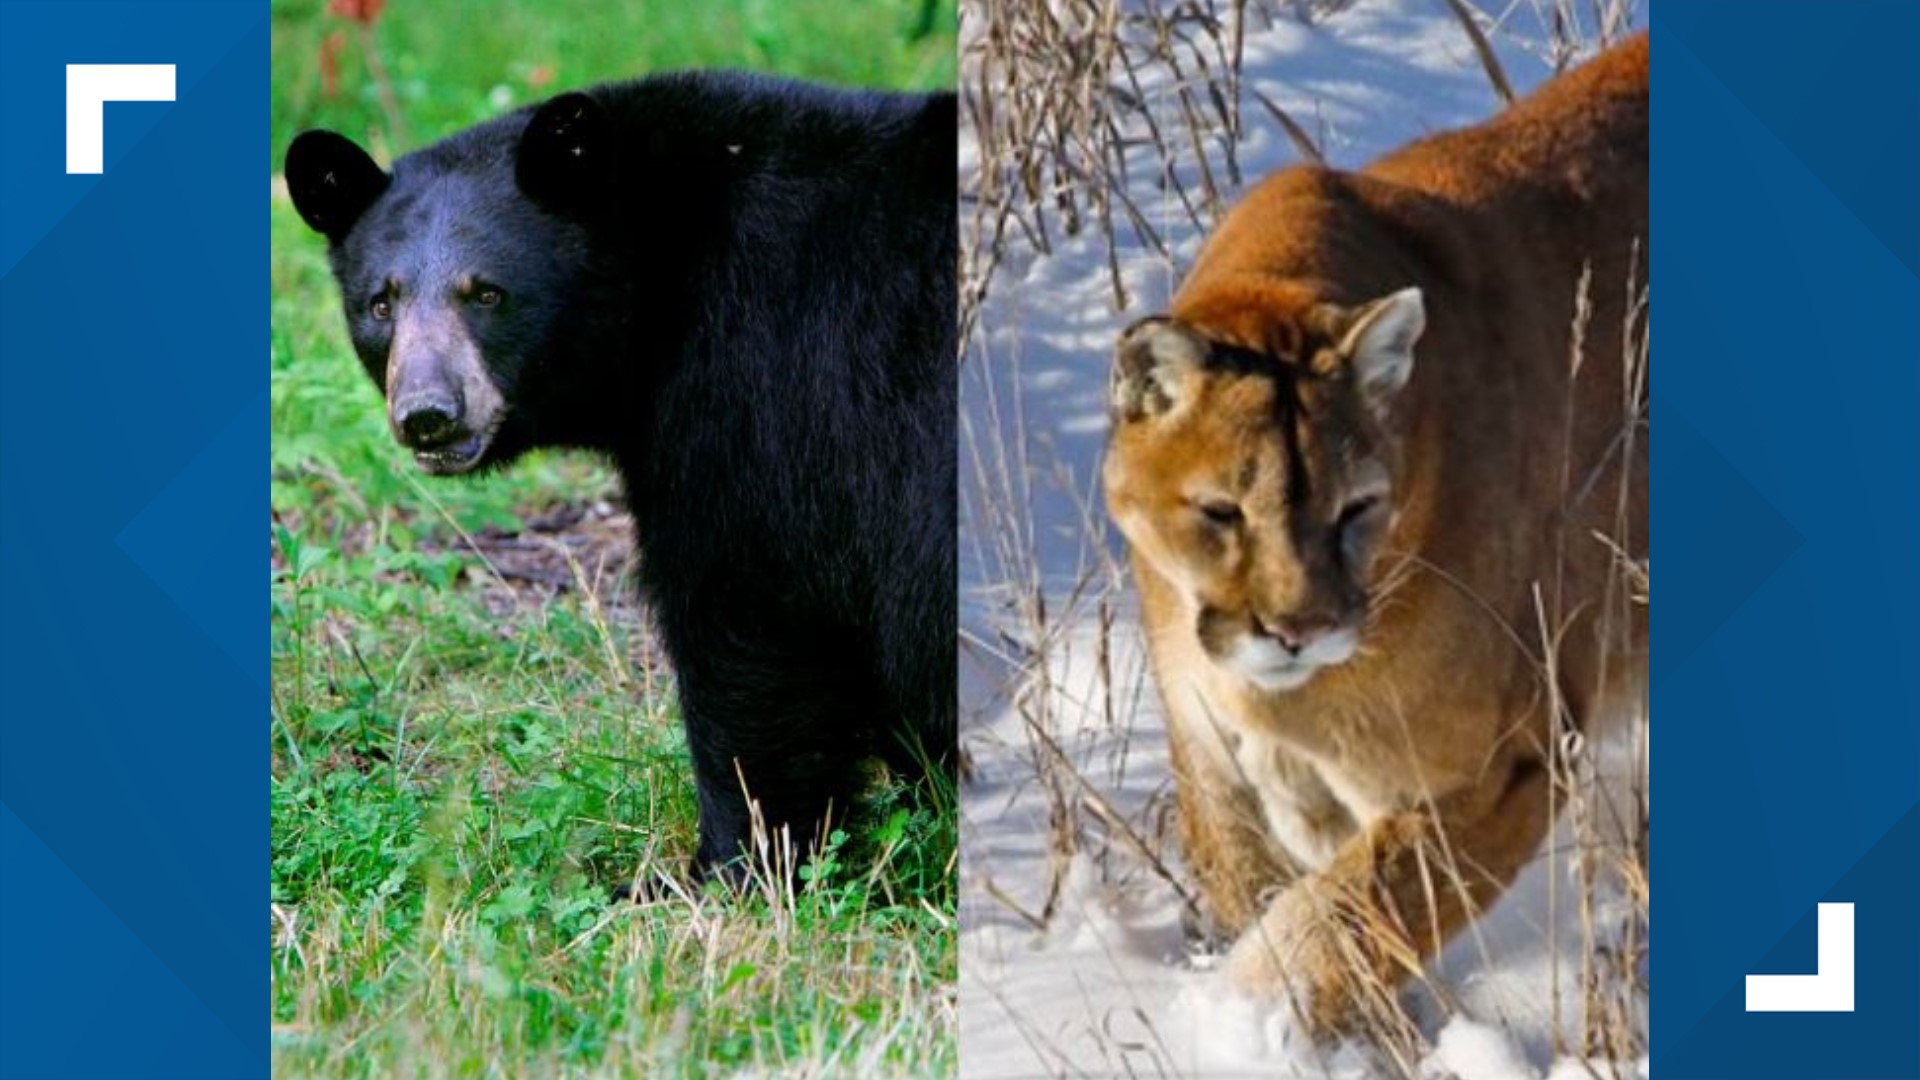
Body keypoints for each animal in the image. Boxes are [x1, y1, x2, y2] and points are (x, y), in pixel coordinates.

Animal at [284, 71, 957, 881]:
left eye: (488, 293)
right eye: (380, 303)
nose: (429, 415)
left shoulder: (760, 403)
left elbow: (749, 631)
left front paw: (727, 866)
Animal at [1102, 32, 1647, 1036]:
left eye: (1354, 509)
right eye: (1222, 513)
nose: (1297, 631)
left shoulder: (1503, 758)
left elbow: (1337, 922)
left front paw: (1236, 1030)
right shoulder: (1216, 765)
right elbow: (1268, 898)